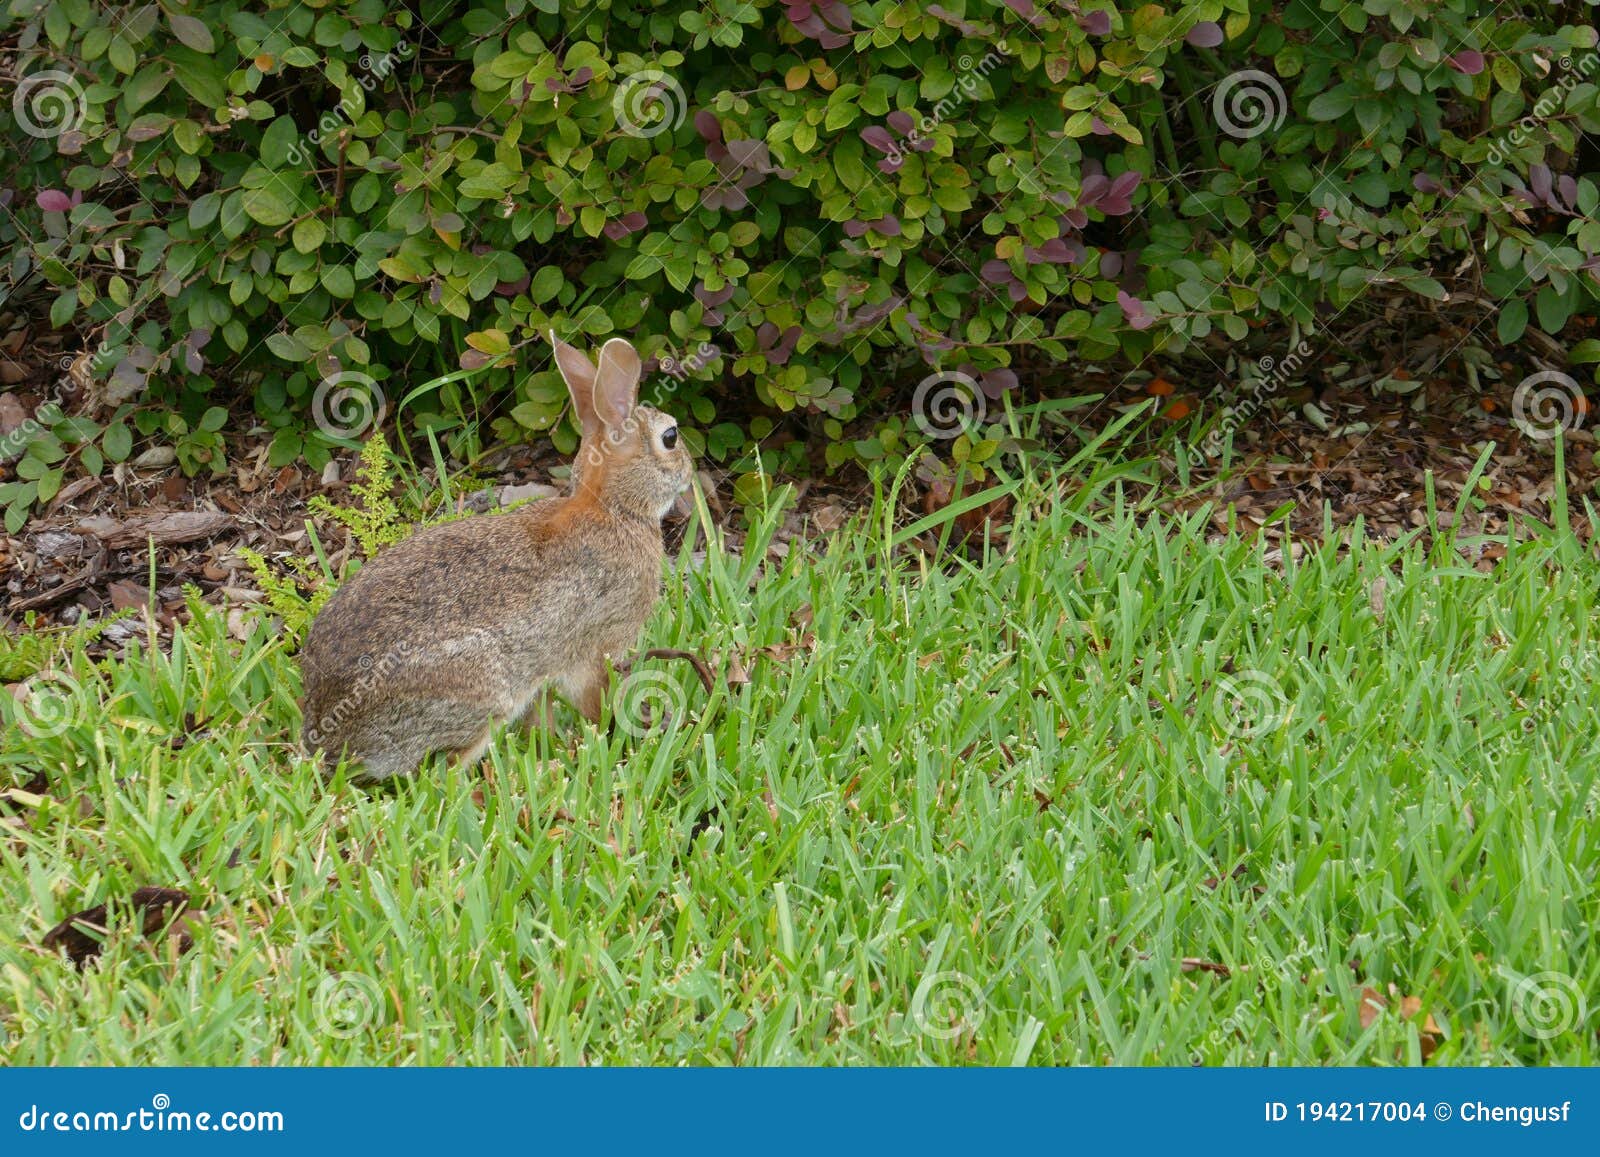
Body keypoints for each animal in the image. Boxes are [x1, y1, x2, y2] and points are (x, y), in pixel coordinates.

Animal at [298, 333, 694, 783]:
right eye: (670, 437)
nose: (690, 471)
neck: (612, 508)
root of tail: (330, 735)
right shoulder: (595, 650)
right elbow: (594, 700)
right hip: (485, 692)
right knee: (447, 772)